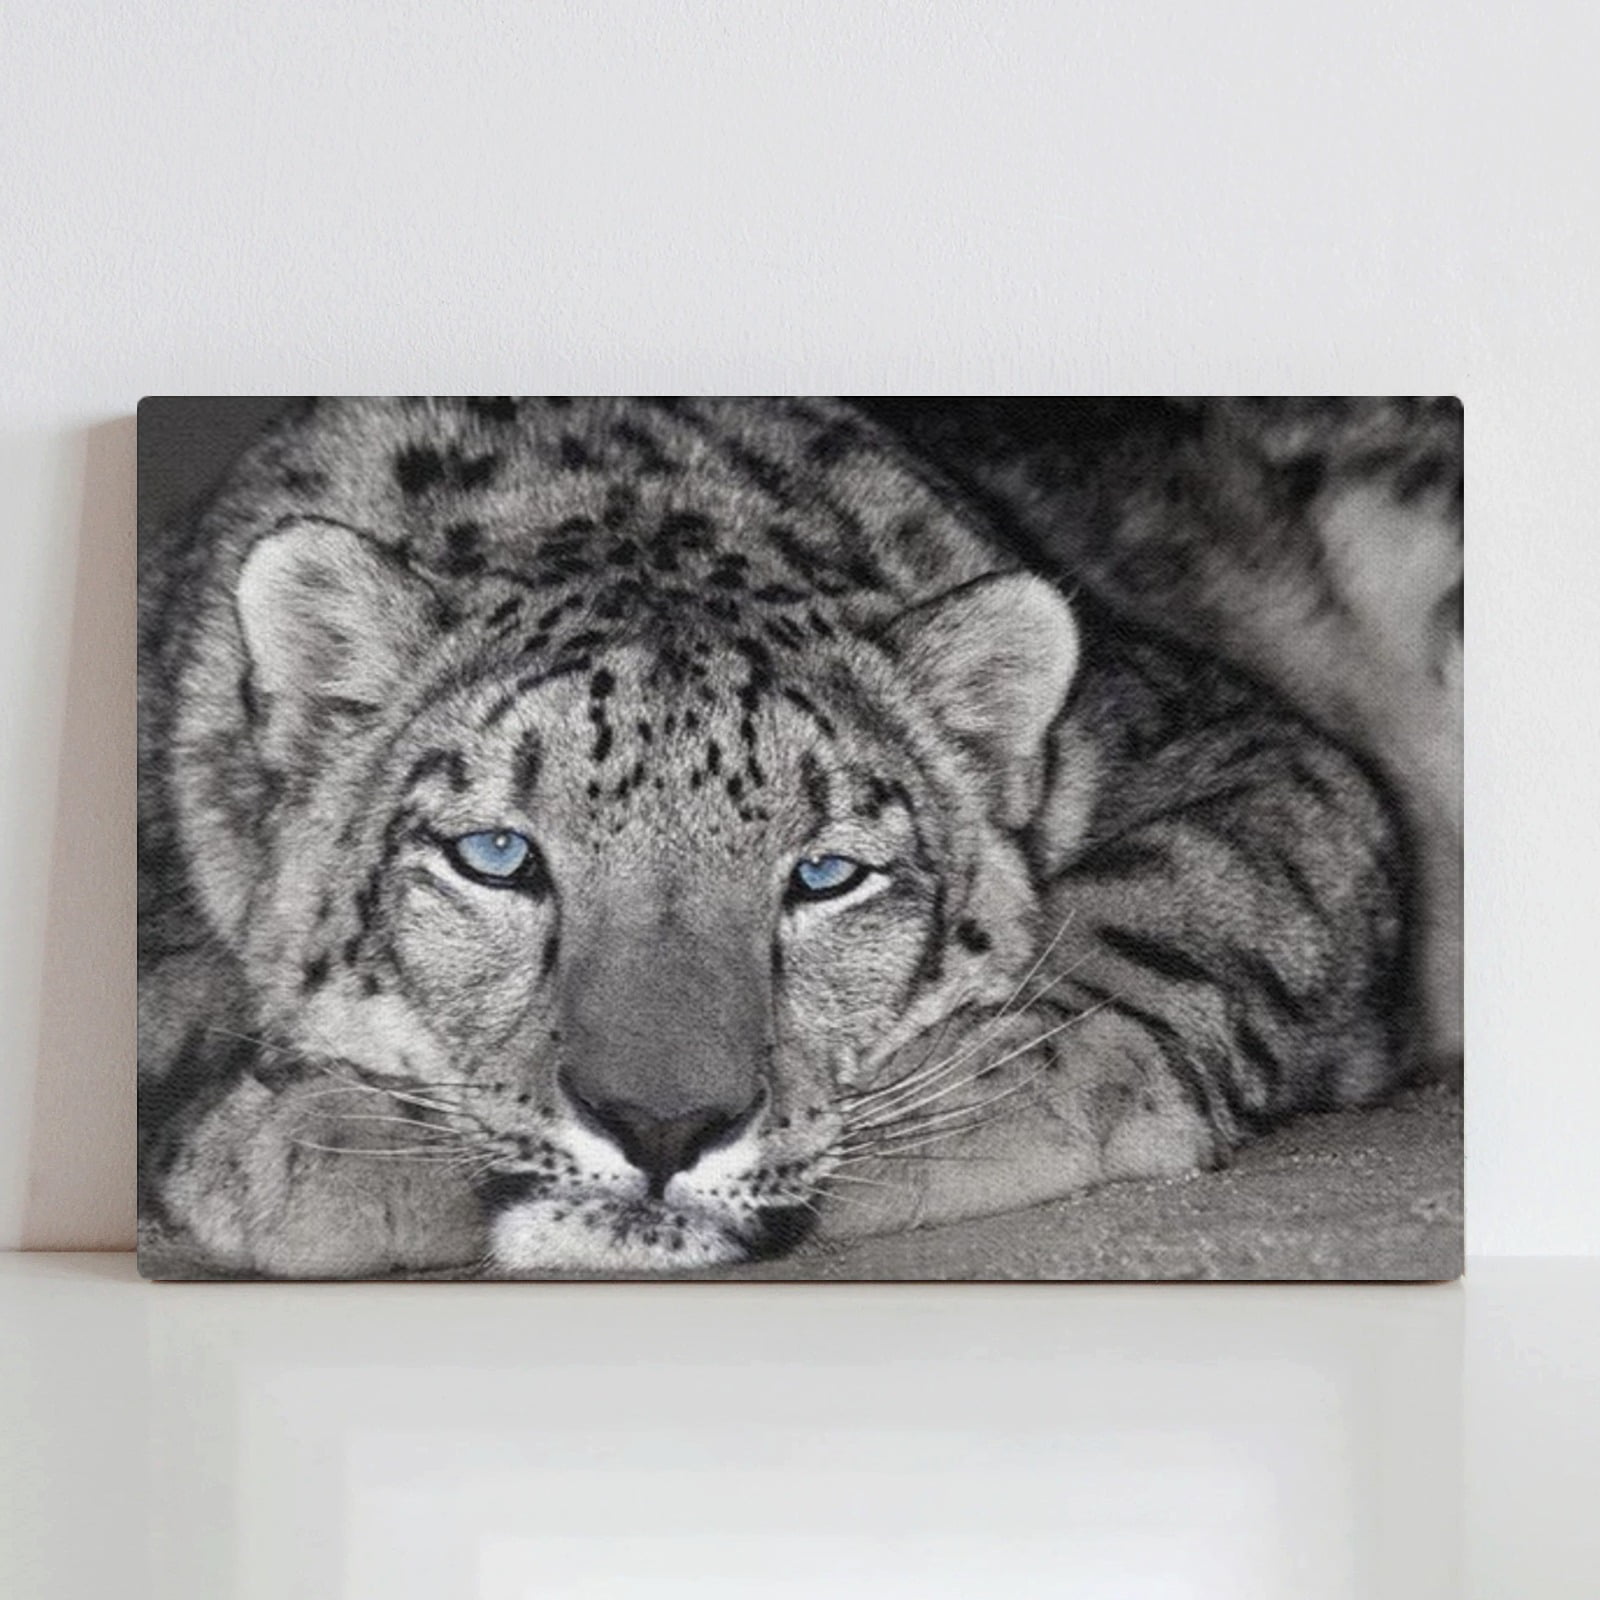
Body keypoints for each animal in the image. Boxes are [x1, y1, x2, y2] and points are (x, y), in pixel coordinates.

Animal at [137, 395, 1420, 1278]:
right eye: (496, 855)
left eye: (824, 873)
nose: (663, 1125)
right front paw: (319, 1128)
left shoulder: (1238, 739)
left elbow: (1193, 888)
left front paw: (1003, 1084)